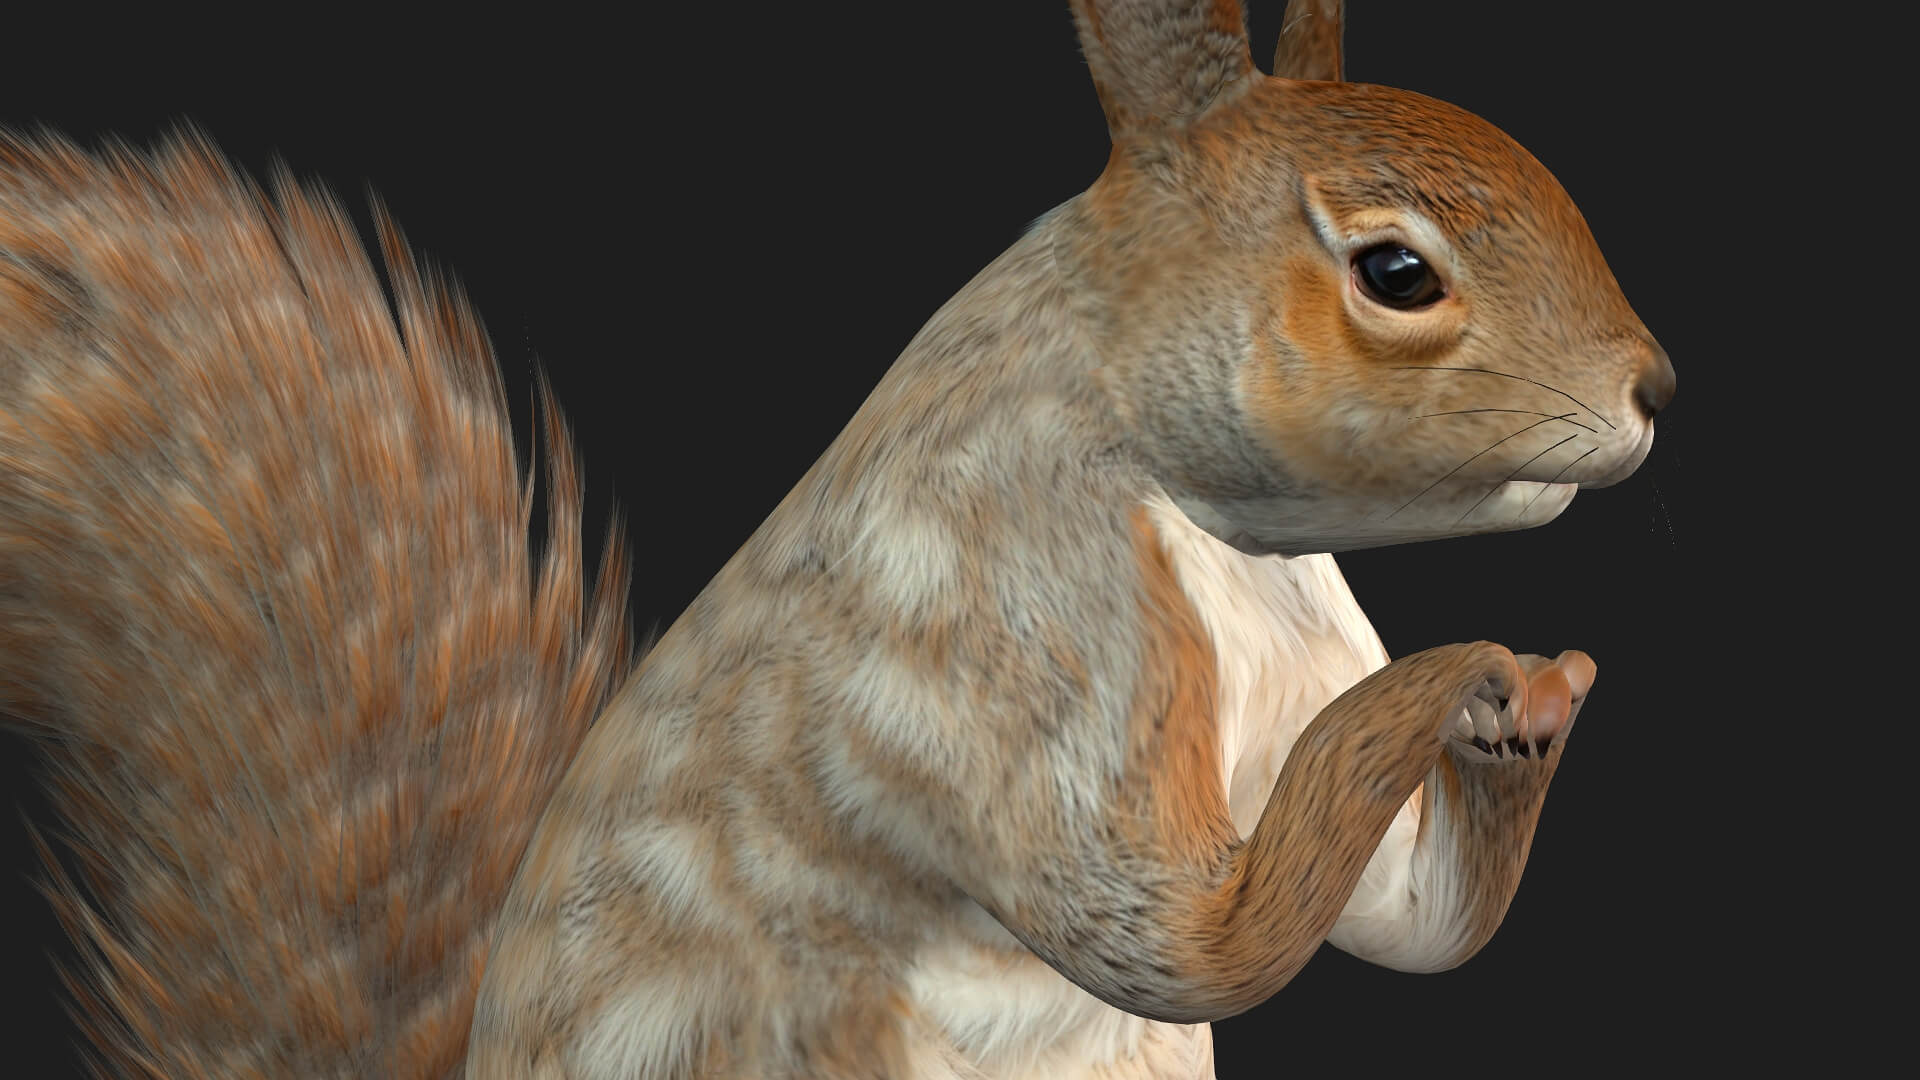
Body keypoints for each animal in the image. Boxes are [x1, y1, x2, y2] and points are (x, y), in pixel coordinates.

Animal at [0, 1, 1675, 1077]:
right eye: (1397, 271)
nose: (1657, 390)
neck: (1218, 535)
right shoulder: (1026, 617)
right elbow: (1173, 934)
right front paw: (1470, 672)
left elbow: (1401, 919)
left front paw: (1536, 706)